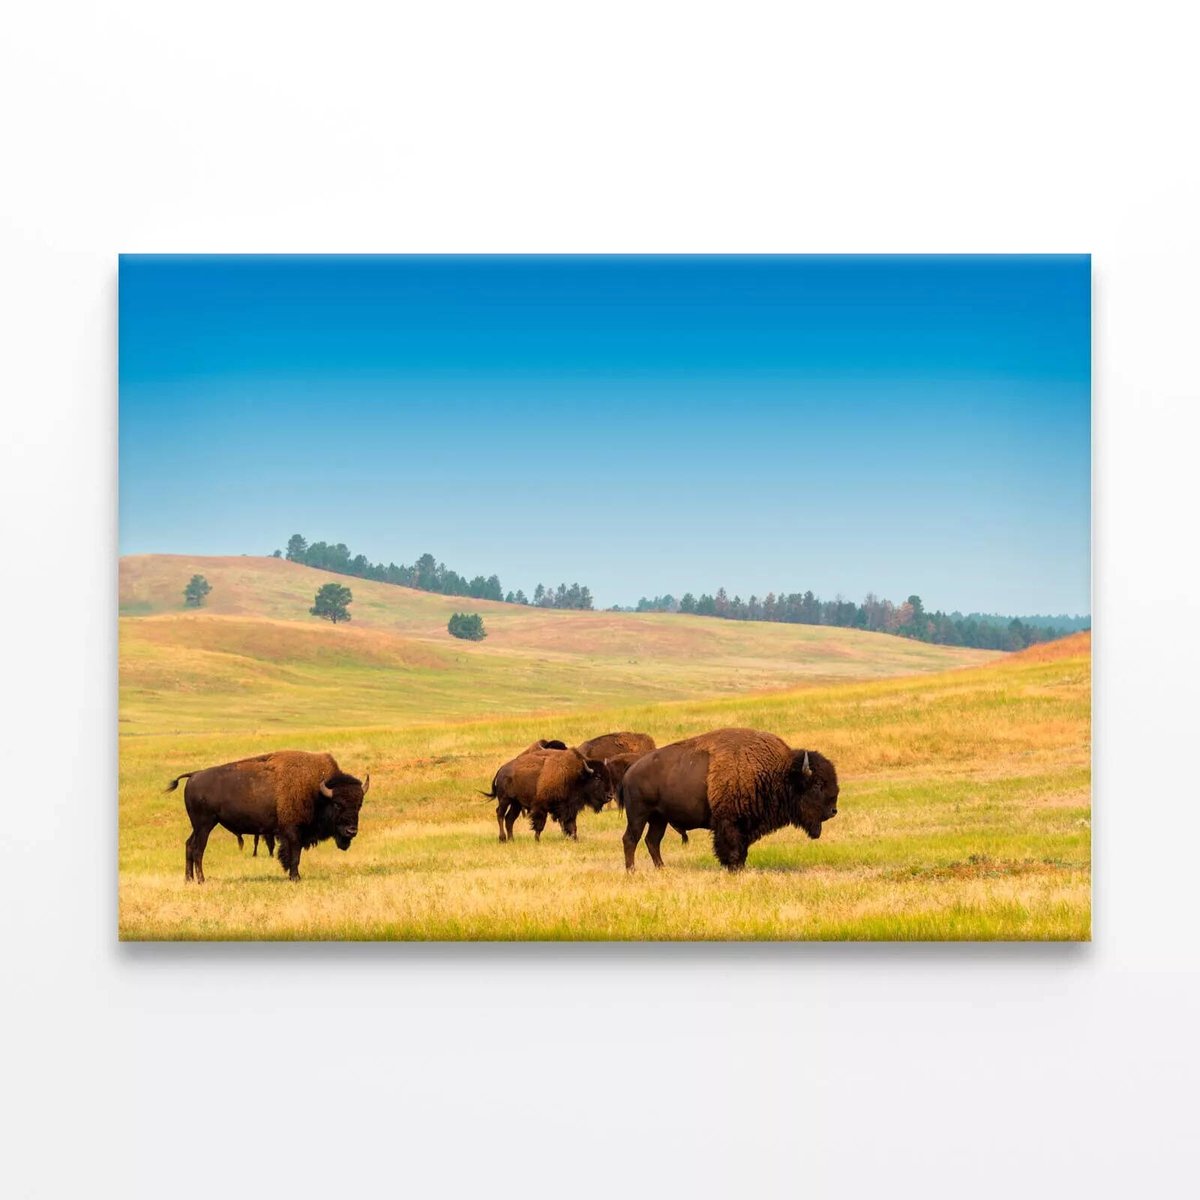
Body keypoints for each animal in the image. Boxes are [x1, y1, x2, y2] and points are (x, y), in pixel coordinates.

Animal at [168, 750, 369, 882]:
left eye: (359, 805)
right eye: (337, 804)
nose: (351, 831)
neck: (317, 792)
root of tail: (194, 775)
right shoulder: (293, 832)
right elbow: (294, 856)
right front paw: (296, 878)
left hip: (198, 826)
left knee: (189, 845)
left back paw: (189, 879)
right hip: (205, 825)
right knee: (198, 849)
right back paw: (201, 880)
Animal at [620, 728, 838, 871]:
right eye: (817, 784)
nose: (833, 810)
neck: (778, 772)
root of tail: (630, 771)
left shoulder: (746, 826)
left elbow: (742, 849)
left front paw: (739, 867)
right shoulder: (729, 823)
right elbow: (732, 848)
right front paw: (733, 868)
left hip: (659, 818)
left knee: (652, 841)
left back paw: (662, 869)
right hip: (639, 815)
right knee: (631, 839)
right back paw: (632, 871)